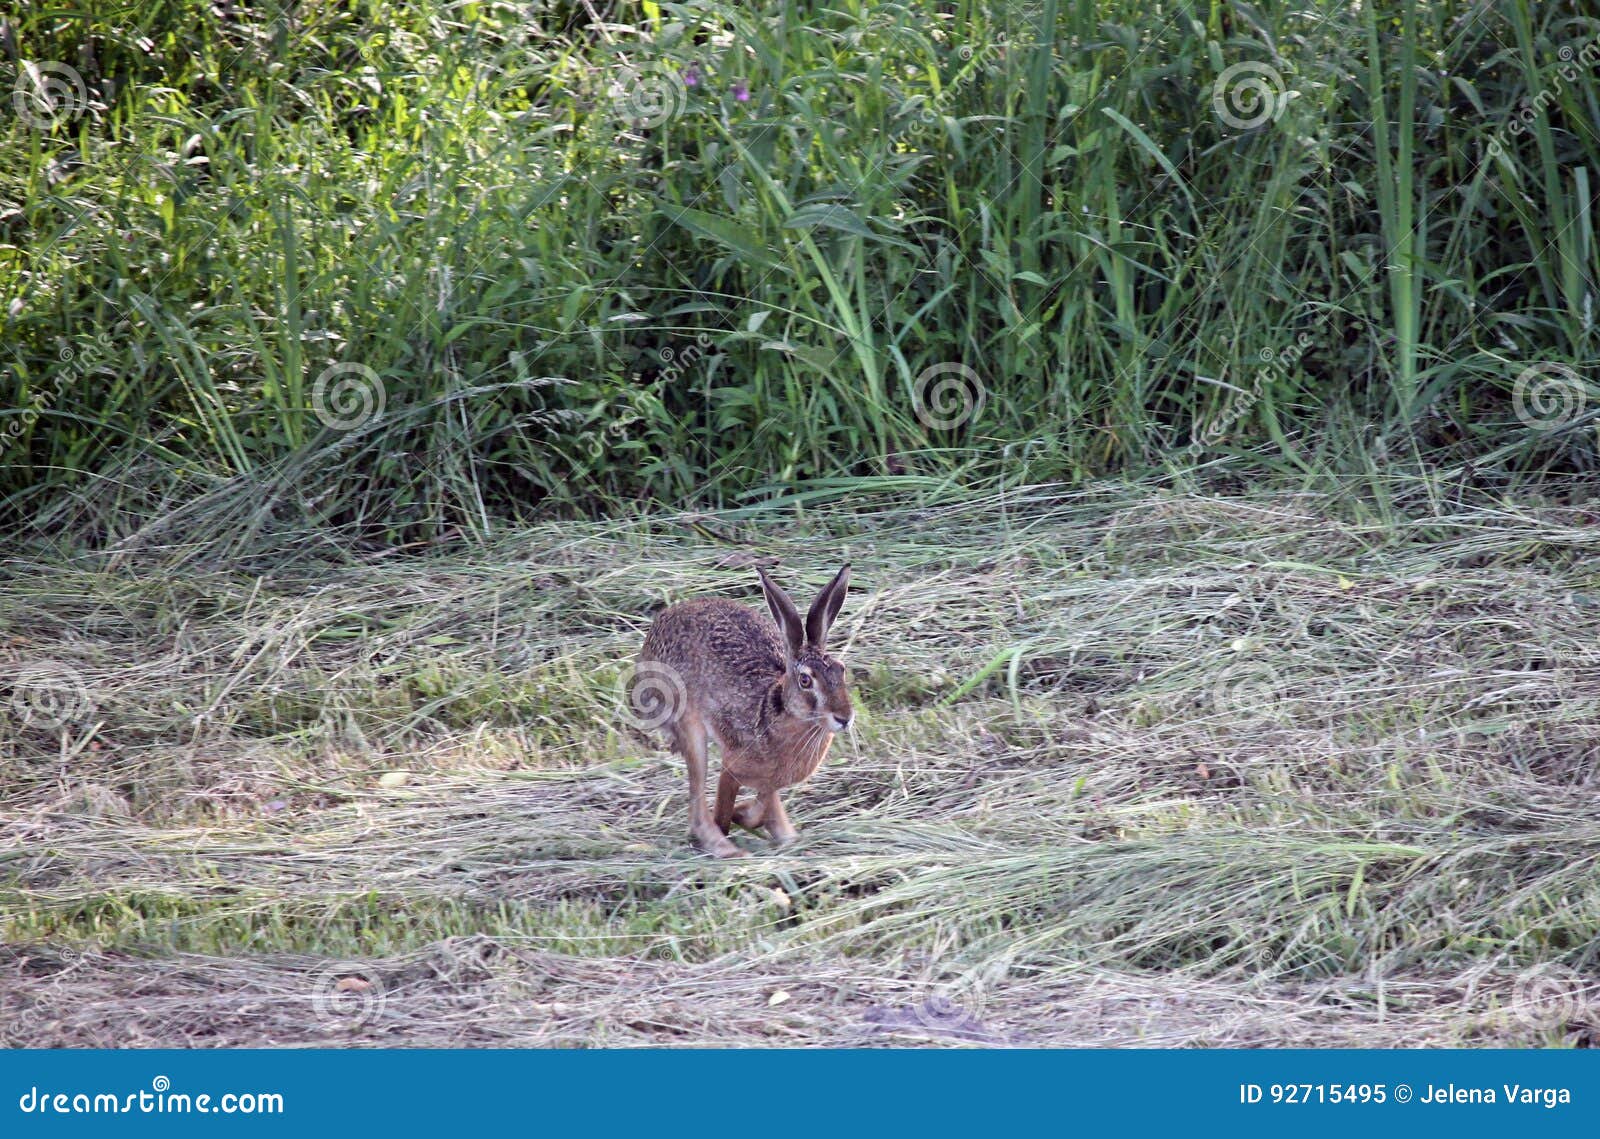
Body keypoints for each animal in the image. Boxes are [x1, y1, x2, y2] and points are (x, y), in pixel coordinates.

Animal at [636, 564, 853, 857]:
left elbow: (764, 805)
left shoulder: (769, 782)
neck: (778, 710)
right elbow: (727, 808)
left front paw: (768, 826)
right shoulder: (732, 765)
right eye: (806, 680)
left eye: (842, 671)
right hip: (689, 724)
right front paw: (735, 818)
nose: (845, 718)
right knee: (697, 804)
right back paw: (726, 850)